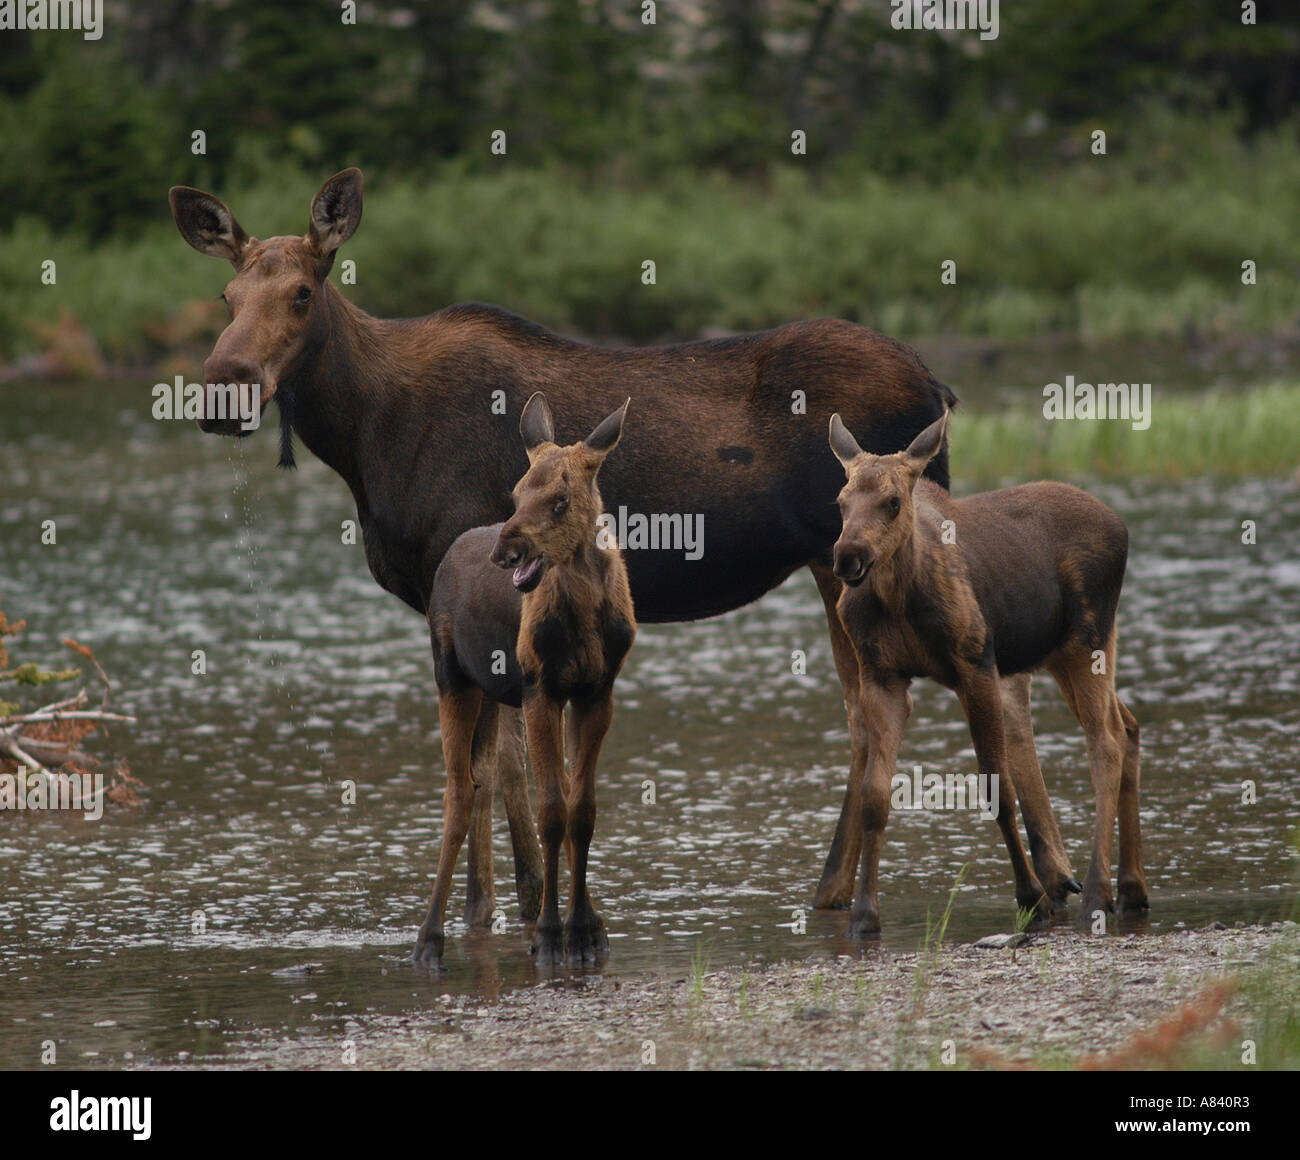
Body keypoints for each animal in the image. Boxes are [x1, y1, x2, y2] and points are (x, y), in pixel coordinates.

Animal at [424, 393, 634, 965]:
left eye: (561, 500)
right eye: (517, 493)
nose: (506, 552)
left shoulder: (595, 691)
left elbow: (582, 809)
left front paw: (586, 930)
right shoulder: (542, 687)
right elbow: (551, 812)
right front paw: (550, 933)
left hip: (497, 694)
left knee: (484, 779)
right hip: (452, 676)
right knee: (458, 793)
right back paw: (428, 937)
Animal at [827, 409, 1149, 936]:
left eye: (893, 501)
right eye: (840, 501)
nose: (847, 556)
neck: (899, 598)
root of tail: (1122, 526)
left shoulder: (975, 664)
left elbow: (998, 785)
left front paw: (1032, 897)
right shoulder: (882, 676)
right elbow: (875, 797)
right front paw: (864, 914)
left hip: (1087, 639)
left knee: (1106, 741)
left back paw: (1097, 892)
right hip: (1064, 652)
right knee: (1129, 725)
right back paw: (1133, 886)